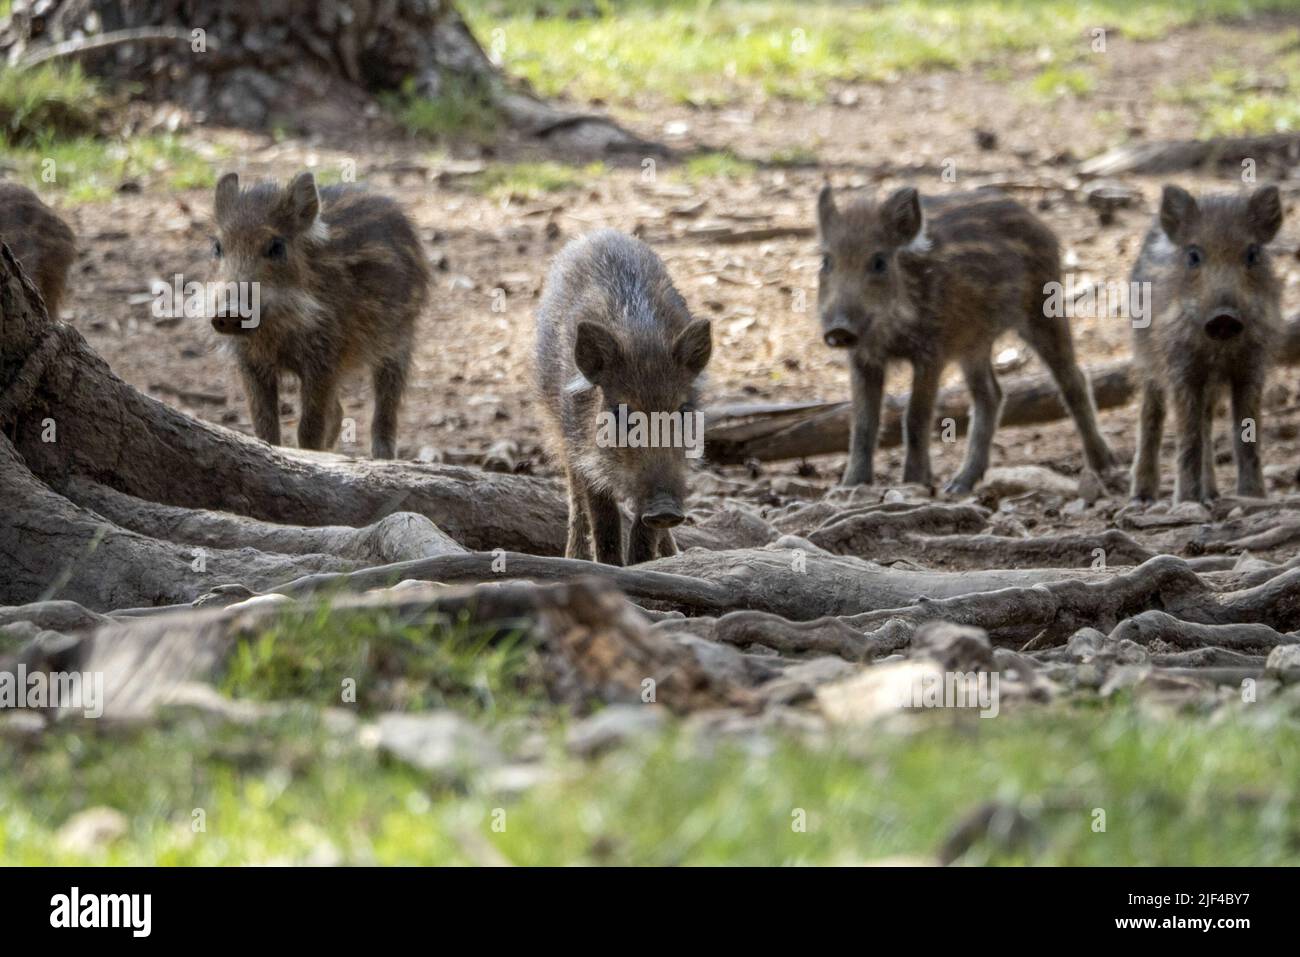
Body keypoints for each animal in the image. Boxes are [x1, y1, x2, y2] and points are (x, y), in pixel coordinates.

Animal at [210, 171, 429, 459]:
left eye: (276, 246)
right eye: (217, 247)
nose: (228, 313)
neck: (275, 330)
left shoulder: (324, 360)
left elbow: (309, 429)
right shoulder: (250, 362)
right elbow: (264, 427)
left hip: (400, 339)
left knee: (385, 414)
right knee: (338, 412)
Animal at [535, 230, 712, 565]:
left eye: (683, 410)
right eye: (622, 413)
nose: (666, 506)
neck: (641, 338)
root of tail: (597, 233)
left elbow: (645, 533)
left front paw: (644, 567)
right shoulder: (584, 450)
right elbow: (603, 519)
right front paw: (612, 569)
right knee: (575, 497)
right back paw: (574, 557)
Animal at [816, 184, 1115, 493]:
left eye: (879, 262)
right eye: (826, 261)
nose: (838, 330)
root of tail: (1038, 222)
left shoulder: (931, 353)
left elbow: (915, 417)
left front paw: (915, 482)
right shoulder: (864, 359)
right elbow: (863, 423)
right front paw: (849, 485)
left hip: (1043, 312)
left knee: (1073, 380)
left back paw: (1103, 464)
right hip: (974, 344)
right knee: (991, 396)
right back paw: (960, 484)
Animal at [1130, 184, 1284, 504]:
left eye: (1252, 254)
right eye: (1193, 255)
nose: (1223, 317)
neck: (1219, 351)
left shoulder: (1251, 369)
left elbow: (1247, 437)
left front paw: (1254, 497)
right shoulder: (1182, 369)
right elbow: (1188, 437)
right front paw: (1186, 501)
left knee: (1207, 421)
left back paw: (1211, 493)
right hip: (1146, 360)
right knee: (1151, 414)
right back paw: (1142, 495)